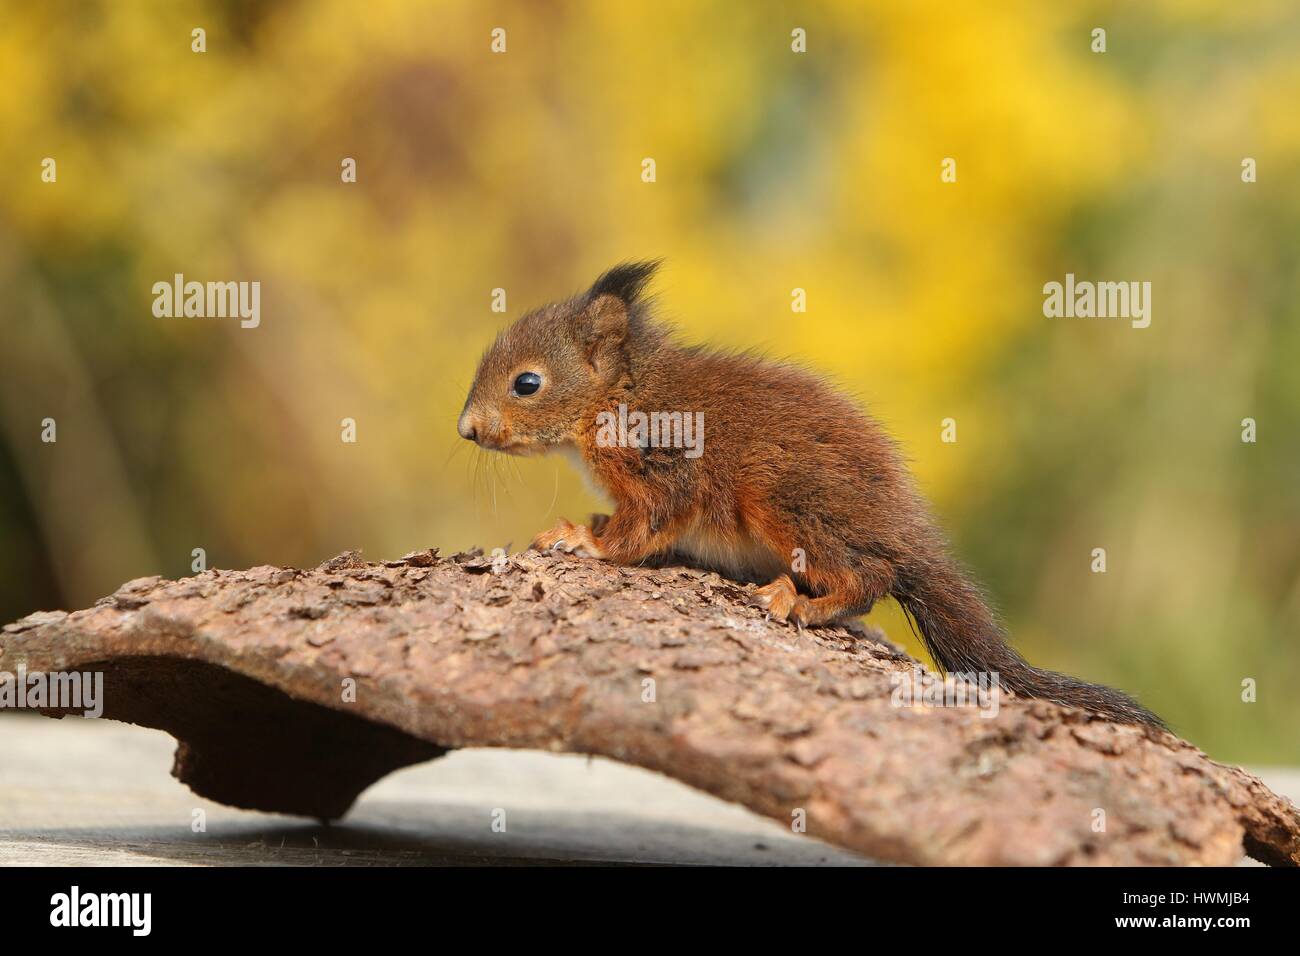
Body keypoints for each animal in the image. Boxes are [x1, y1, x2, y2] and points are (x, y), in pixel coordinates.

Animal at [458, 261, 1165, 728]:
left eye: (527, 383)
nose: (465, 429)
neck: (618, 394)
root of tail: (903, 531)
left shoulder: (664, 467)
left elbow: (645, 528)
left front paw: (586, 541)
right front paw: (590, 522)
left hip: (784, 503)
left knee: (869, 578)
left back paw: (799, 601)